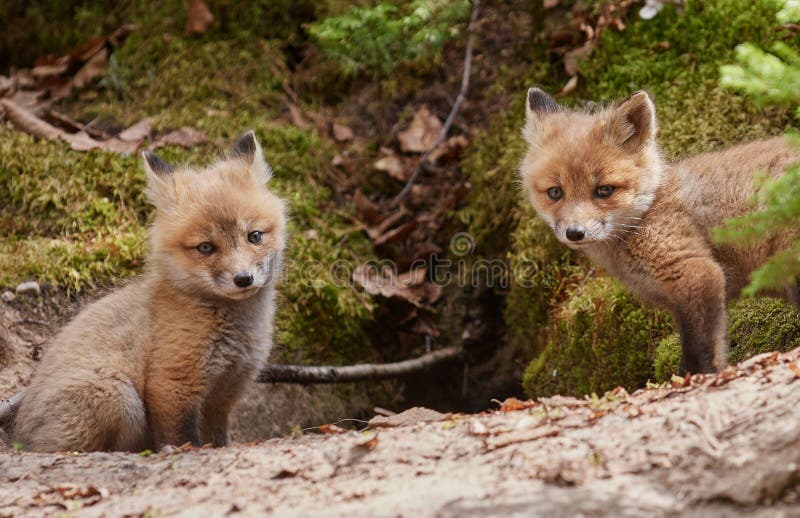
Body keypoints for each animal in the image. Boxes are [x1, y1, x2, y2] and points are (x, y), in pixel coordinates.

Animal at [13, 130, 287, 452]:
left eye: (254, 236)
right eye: (206, 247)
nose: (243, 278)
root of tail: (20, 438)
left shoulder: (224, 393)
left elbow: (217, 439)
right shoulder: (173, 382)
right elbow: (182, 438)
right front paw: (180, 451)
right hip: (119, 396)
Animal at [519, 87, 800, 375]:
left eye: (604, 190)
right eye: (555, 192)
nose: (575, 233)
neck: (646, 214)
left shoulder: (694, 271)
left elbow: (698, 353)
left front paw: (692, 379)